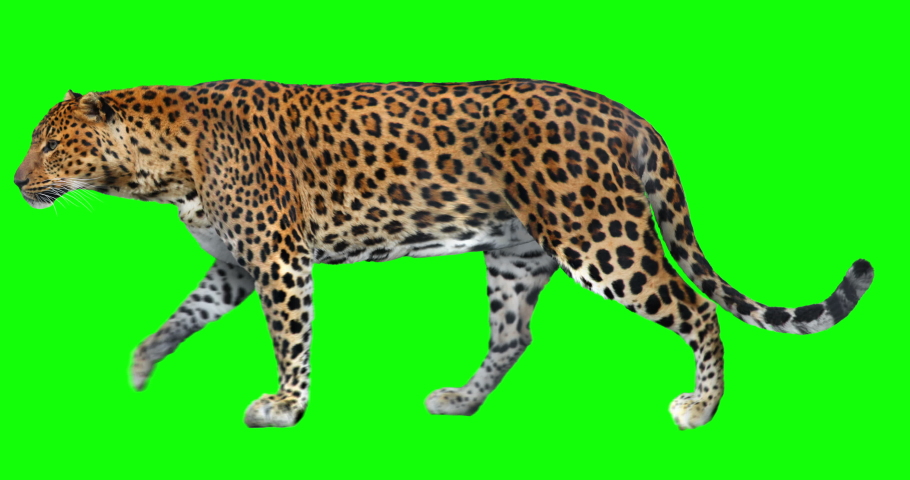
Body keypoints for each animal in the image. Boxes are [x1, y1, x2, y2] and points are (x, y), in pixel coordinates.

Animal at [14, 79, 874, 429]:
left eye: (51, 146)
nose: (17, 181)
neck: (161, 168)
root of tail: (628, 114)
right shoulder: (232, 265)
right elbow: (183, 314)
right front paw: (140, 364)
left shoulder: (280, 259)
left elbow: (291, 338)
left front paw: (286, 405)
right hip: (517, 254)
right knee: (514, 335)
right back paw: (461, 399)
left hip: (601, 237)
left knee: (695, 307)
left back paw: (701, 407)